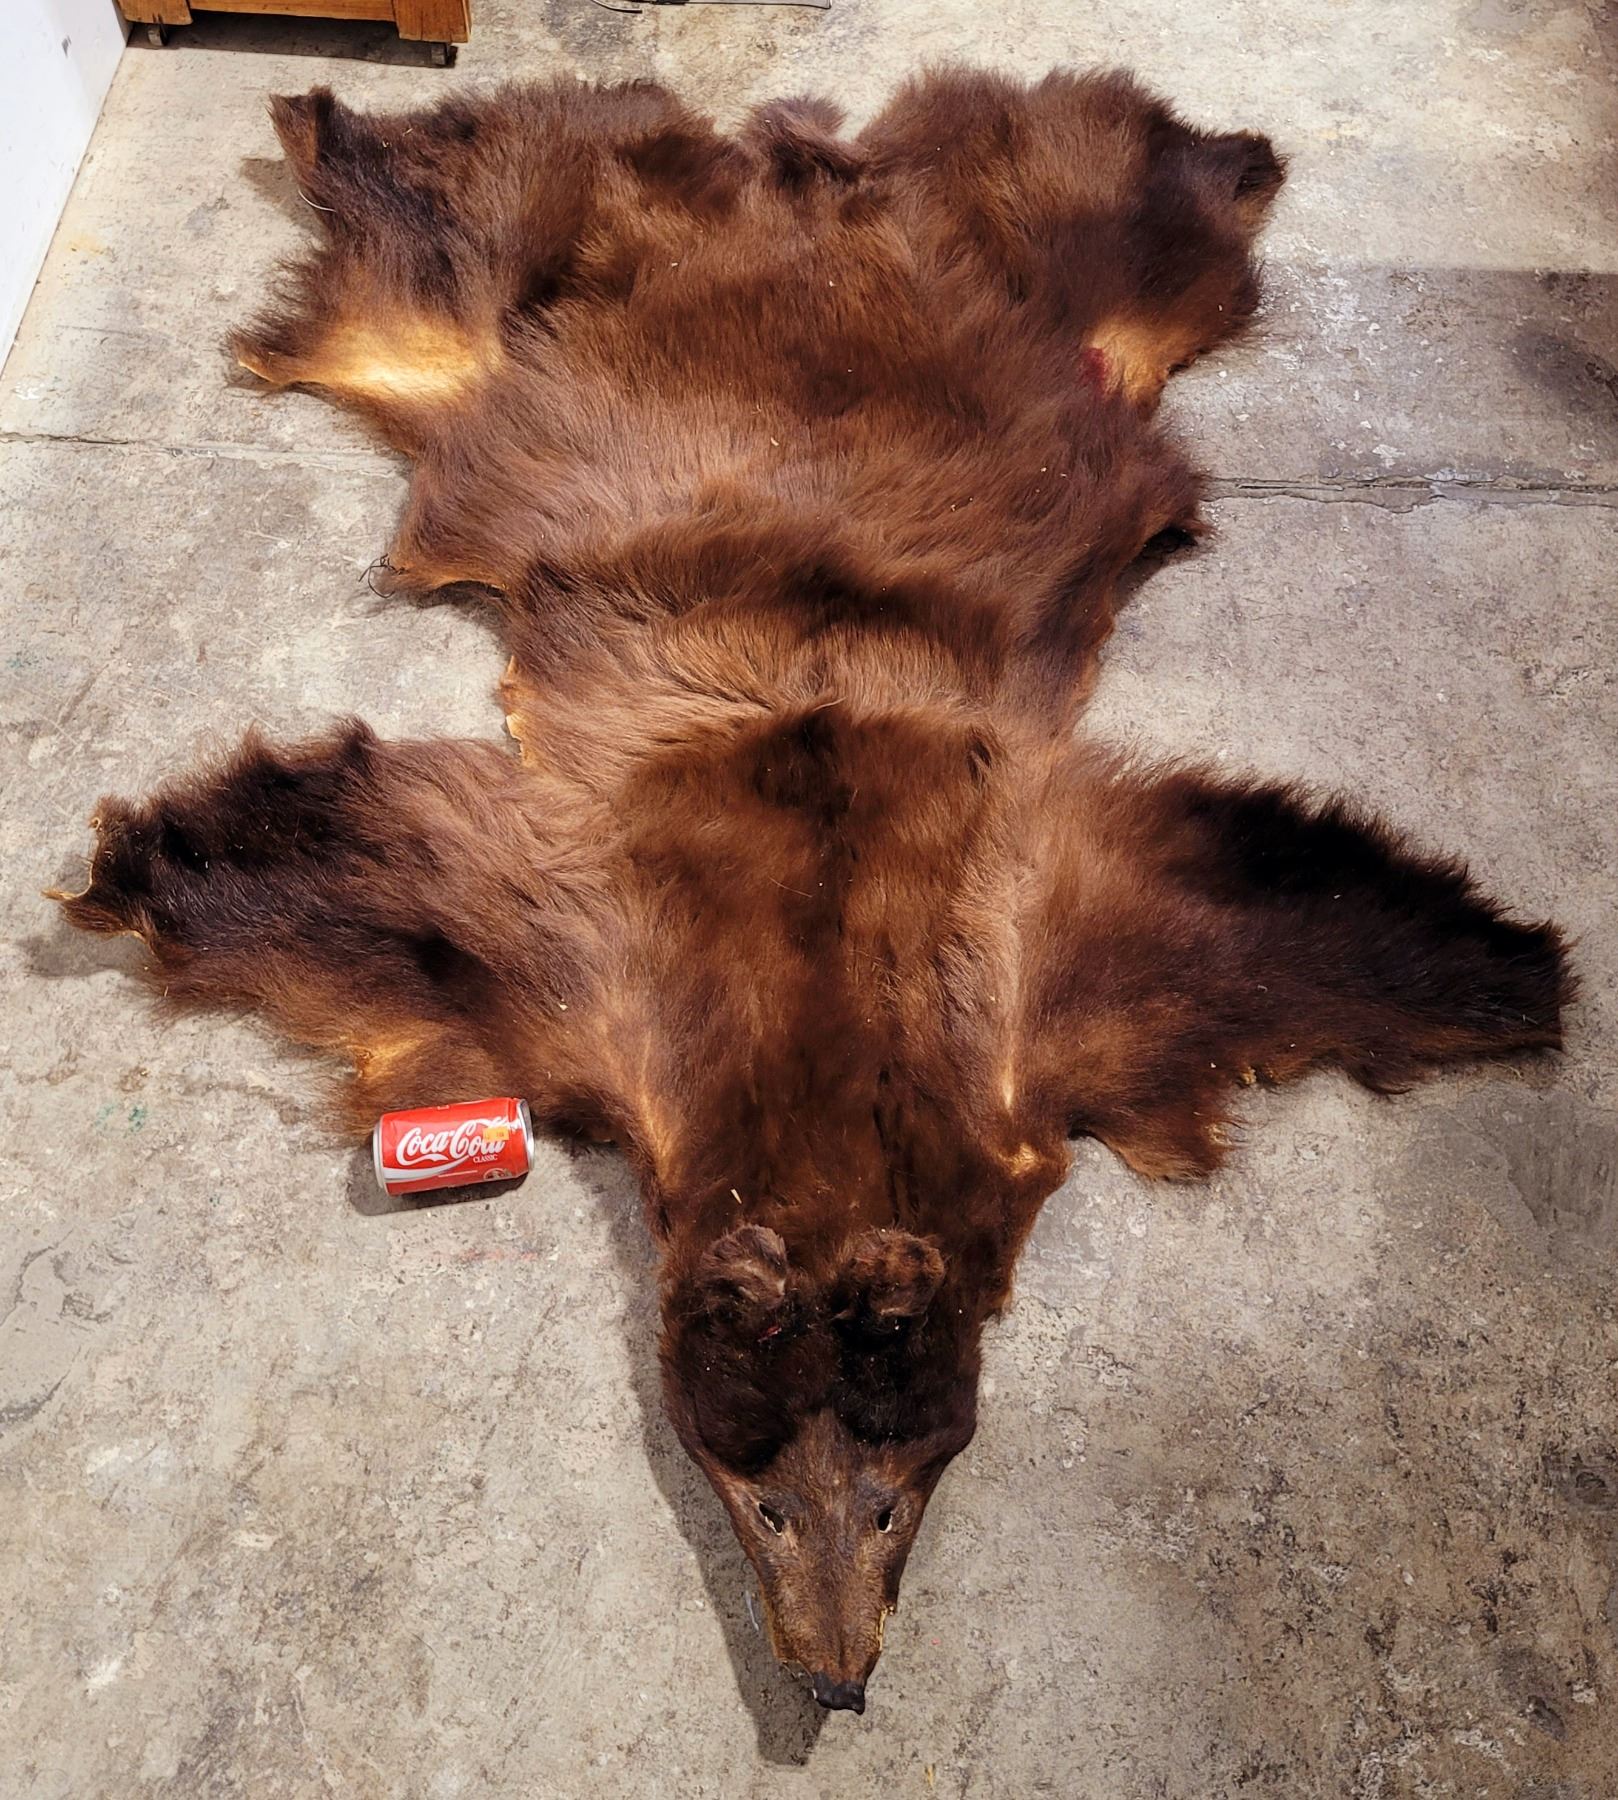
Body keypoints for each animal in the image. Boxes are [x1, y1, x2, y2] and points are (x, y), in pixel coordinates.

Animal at [53, 70, 1570, 1714]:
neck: (829, 1088)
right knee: (437, 231)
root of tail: (803, 174)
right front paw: (140, 860)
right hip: (462, 323)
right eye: (765, 1495)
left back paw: (1207, 154)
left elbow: (1269, 919)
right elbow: (368, 875)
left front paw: (1501, 963)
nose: (834, 1674)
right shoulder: (578, 941)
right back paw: (338, 123)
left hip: (1096, 308)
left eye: (898, 1493)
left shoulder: (1042, 952)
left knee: (1125, 211)